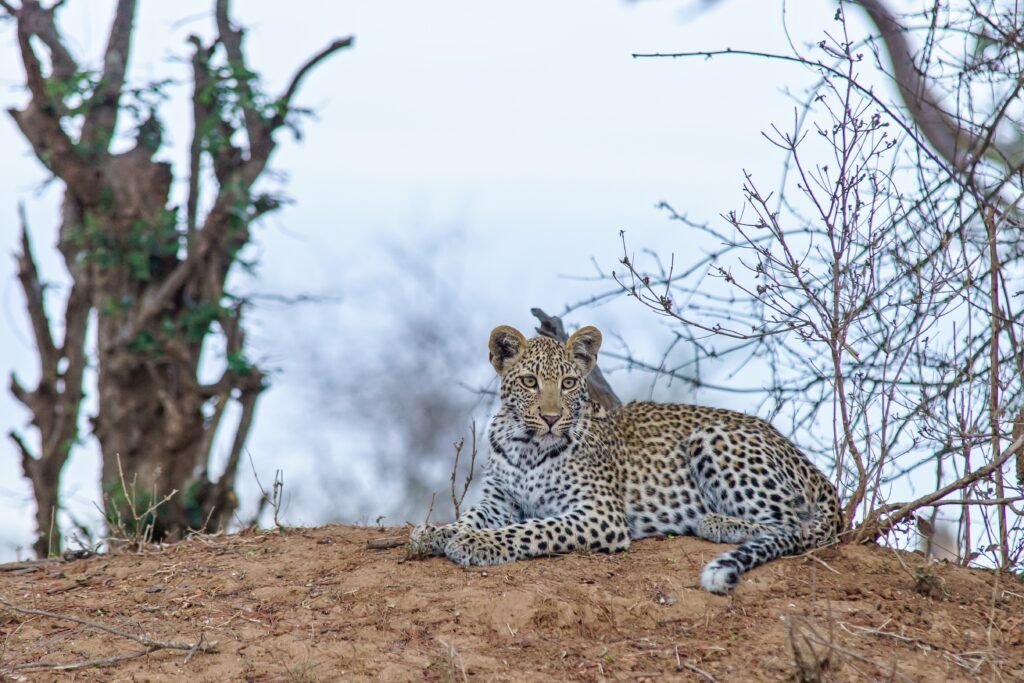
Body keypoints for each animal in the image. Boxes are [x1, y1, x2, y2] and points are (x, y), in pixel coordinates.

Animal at [410, 324, 843, 593]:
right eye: (530, 382)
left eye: (569, 383)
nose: (551, 418)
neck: (527, 445)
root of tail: (811, 466)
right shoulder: (499, 498)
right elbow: (469, 516)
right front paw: (435, 532)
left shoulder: (599, 514)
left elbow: (529, 529)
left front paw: (476, 542)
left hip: (713, 438)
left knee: (798, 527)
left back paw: (717, 522)